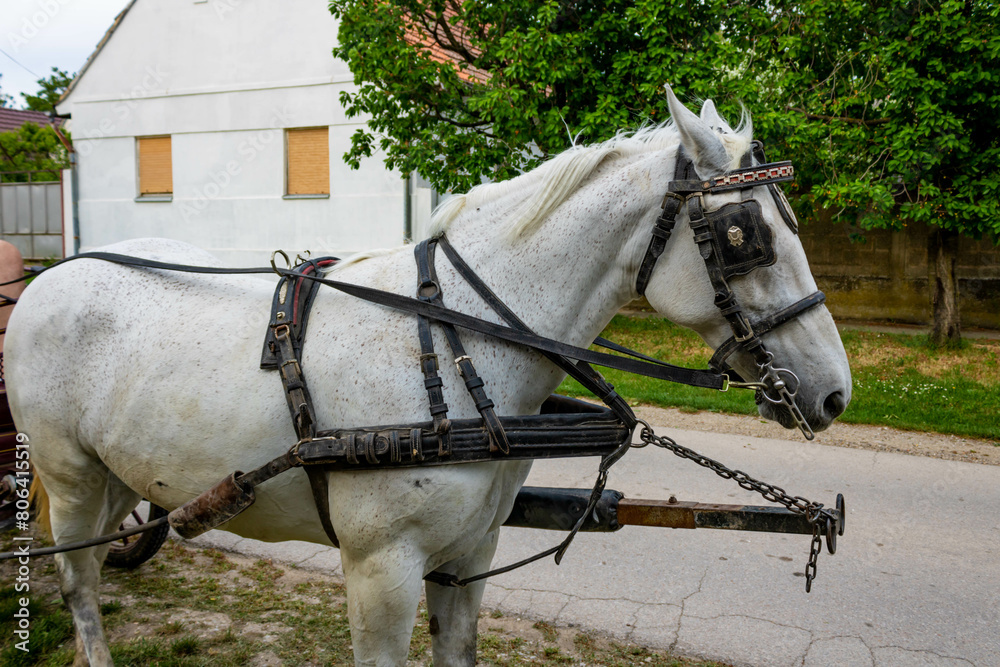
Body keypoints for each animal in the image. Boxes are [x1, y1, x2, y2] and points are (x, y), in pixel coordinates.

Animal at [6, 89, 851, 666]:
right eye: (744, 235)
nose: (834, 392)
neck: (456, 346)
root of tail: (53, 275)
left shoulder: (469, 556)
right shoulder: (382, 570)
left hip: (120, 469)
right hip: (70, 471)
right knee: (78, 579)